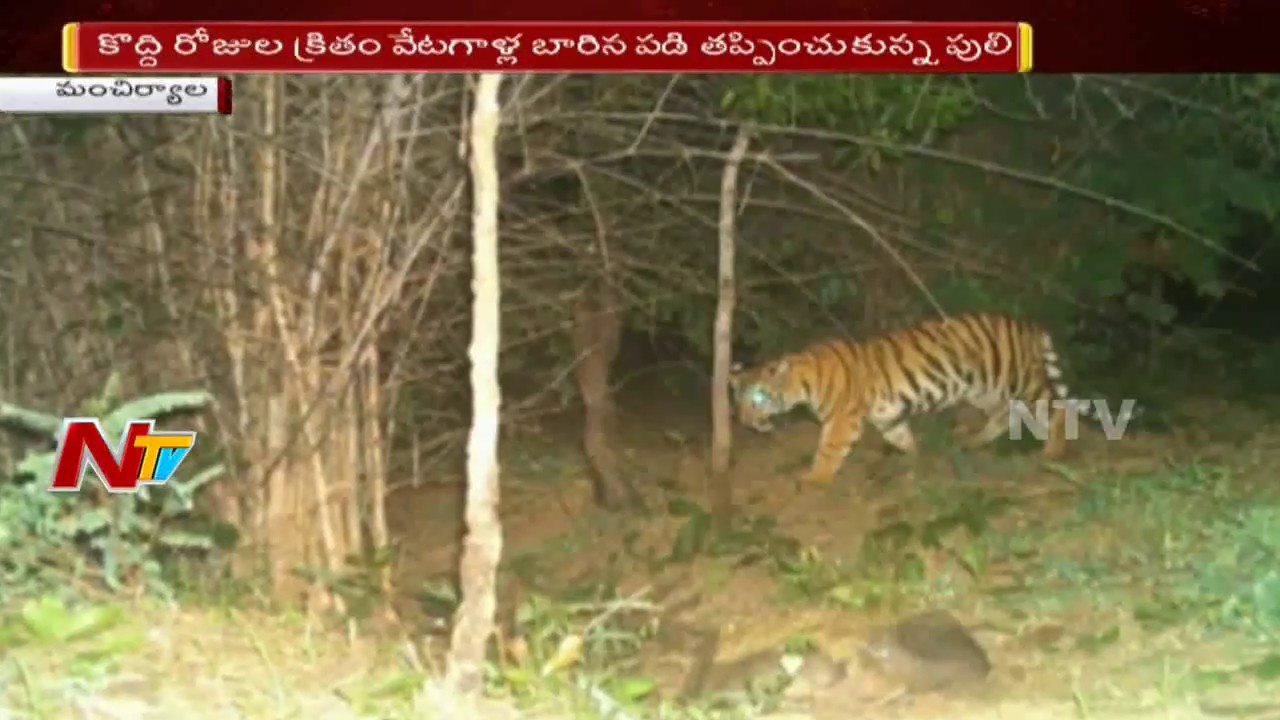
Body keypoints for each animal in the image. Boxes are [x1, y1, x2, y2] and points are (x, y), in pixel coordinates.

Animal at [729, 312, 1105, 486]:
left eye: (758, 397)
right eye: (738, 401)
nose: (744, 422)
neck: (803, 381)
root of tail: (1028, 324)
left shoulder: (842, 420)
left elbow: (828, 451)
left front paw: (813, 480)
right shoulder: (886, 414)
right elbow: (902, 436)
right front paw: (915, 460)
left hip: (1019, 380)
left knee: (1057, 409)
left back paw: (1053, 453)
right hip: (985, 389)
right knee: (1005, 416)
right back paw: (973, 442)